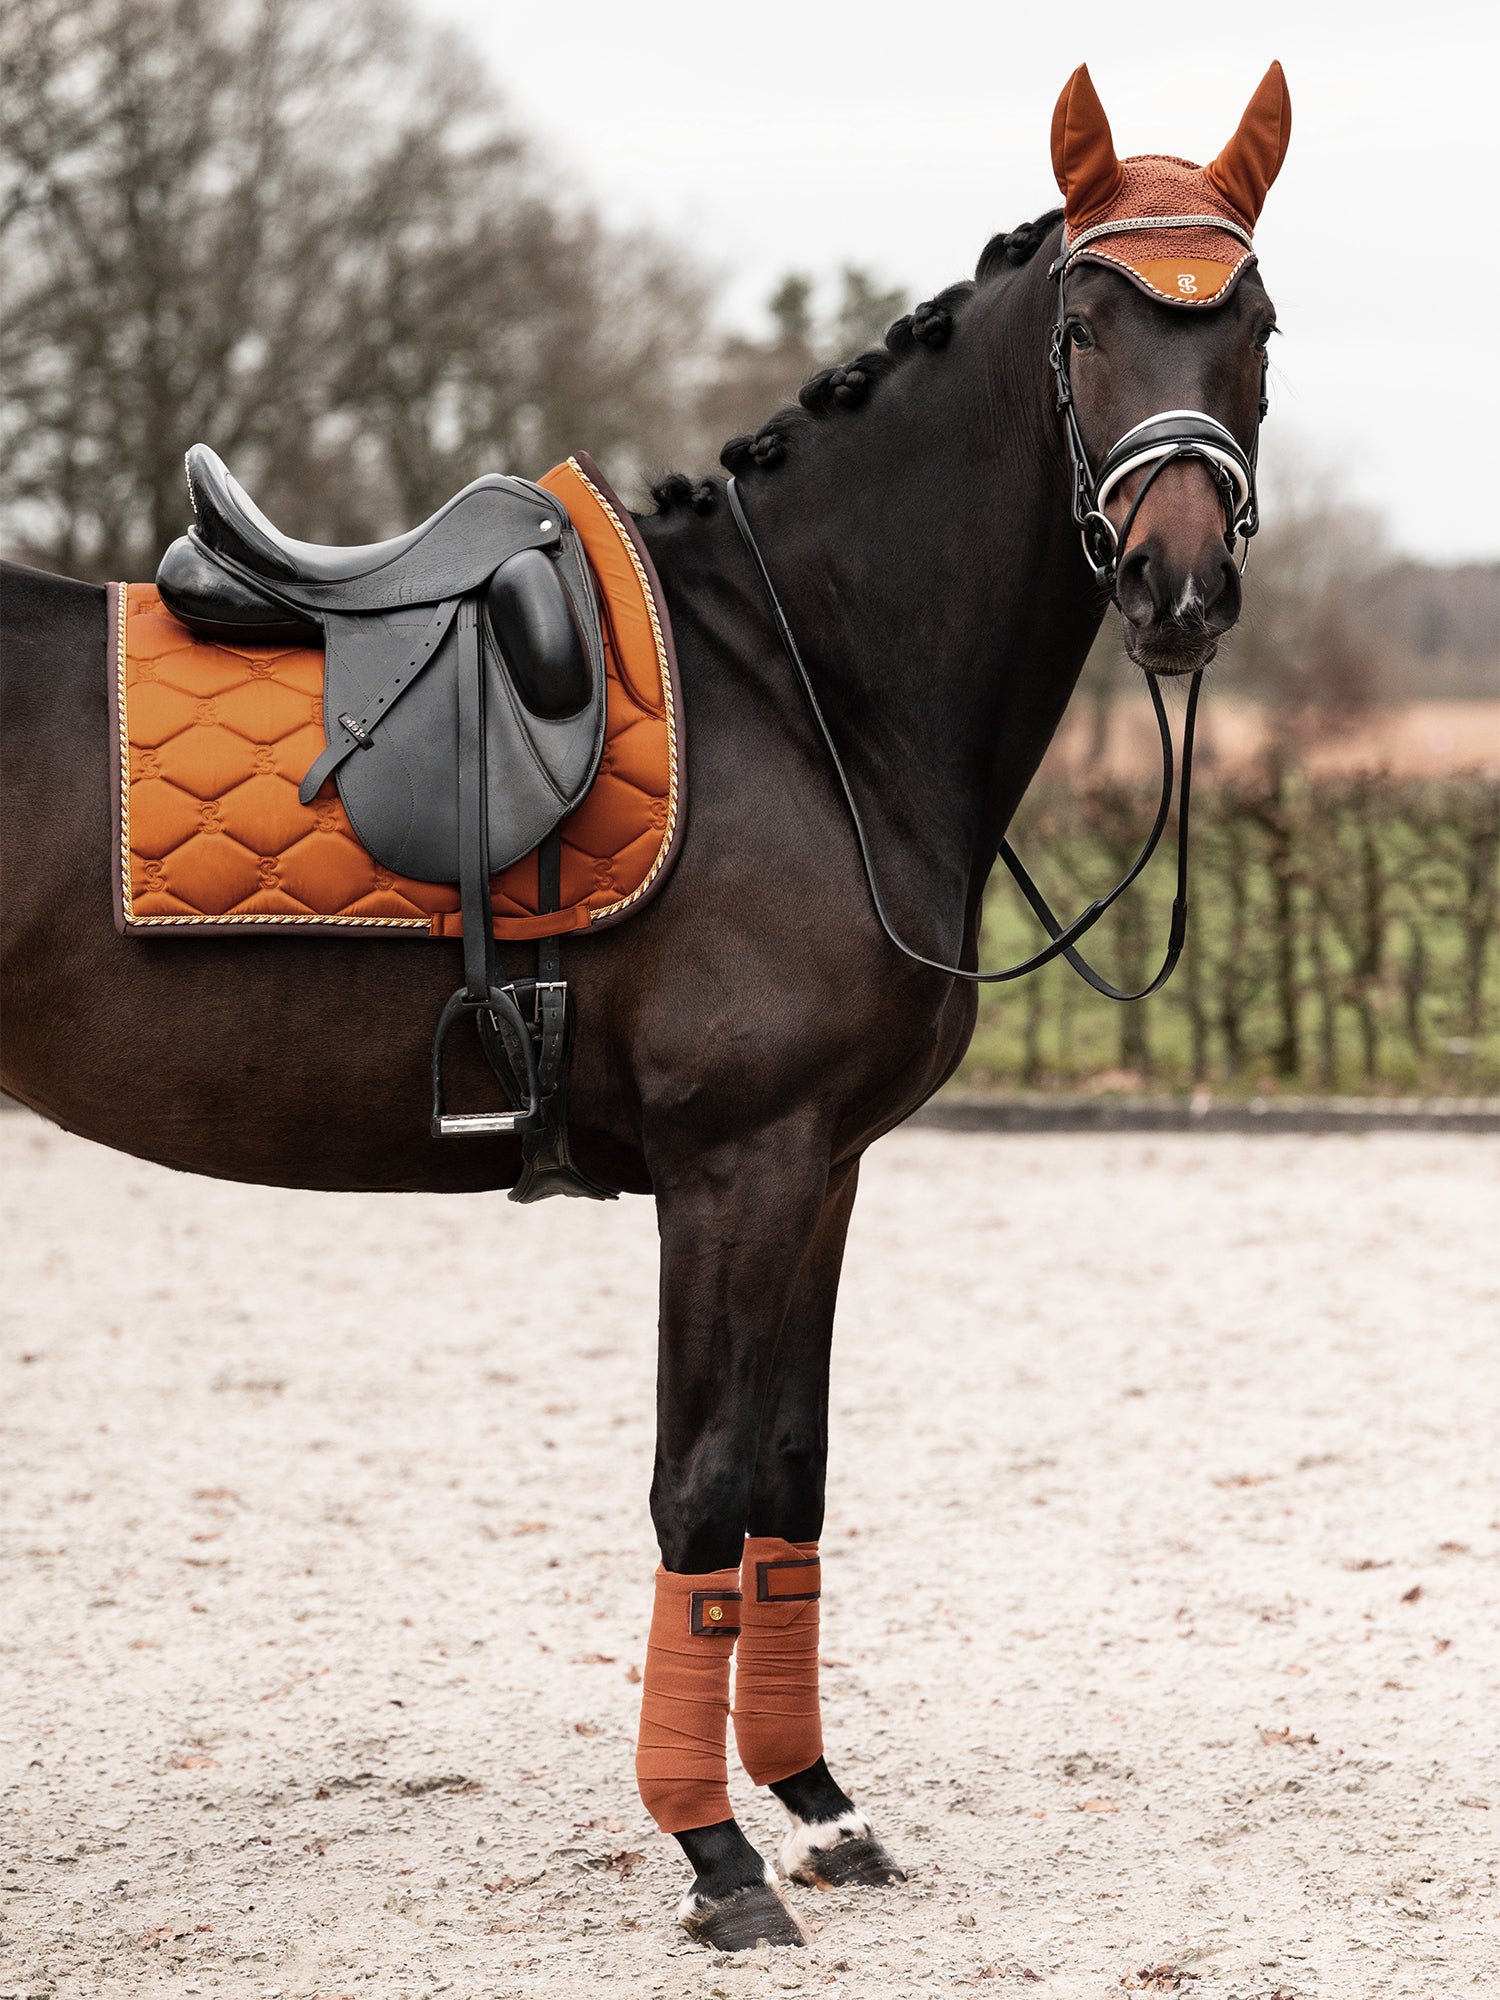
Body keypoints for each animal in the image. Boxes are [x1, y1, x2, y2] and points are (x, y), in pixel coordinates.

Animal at [0, 64, 1289, 1951]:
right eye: (1087, 322)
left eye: (1254, 323)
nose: (1178, 585)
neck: (807, 688)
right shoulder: (729, 1167)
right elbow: (700, 1485)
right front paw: (714, 1850)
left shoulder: (824, 1168)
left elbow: (787, 1478)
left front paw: (817, 1801)